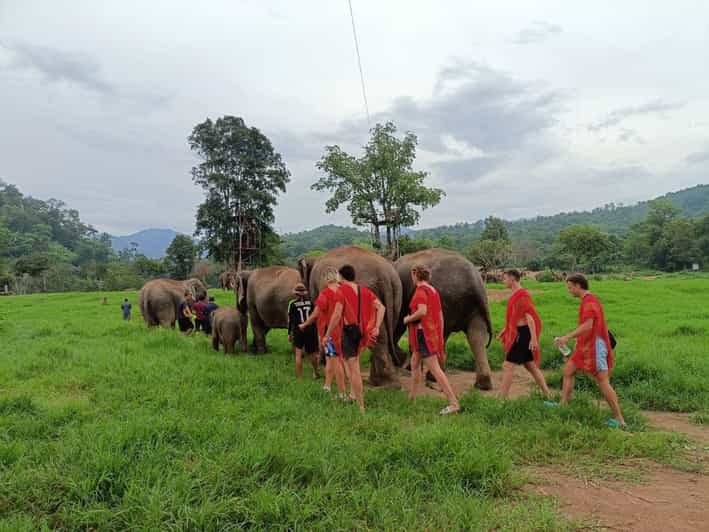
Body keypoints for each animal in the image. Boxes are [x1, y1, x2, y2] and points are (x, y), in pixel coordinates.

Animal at [394, 248, 494, 390]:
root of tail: (473, 282)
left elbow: (401, 322)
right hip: (475, 306)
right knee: (476, 335)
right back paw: (483, 384)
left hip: (445, 300)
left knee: (443, 333)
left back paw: (433, 377)